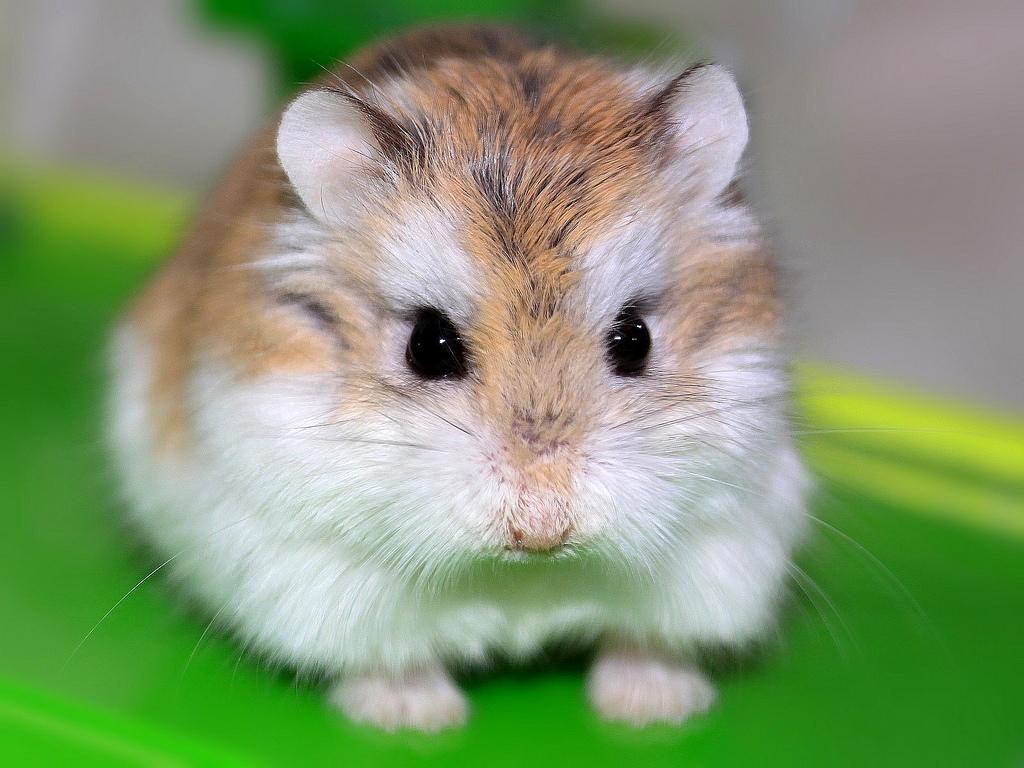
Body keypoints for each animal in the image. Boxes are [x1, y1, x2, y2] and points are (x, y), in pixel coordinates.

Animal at [107, 23, 809, 731]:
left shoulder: (723, 546)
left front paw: (653, 708)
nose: (541, 531)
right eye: (428, 346)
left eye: (635, 339)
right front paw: (416, 718)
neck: (519, 576)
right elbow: (390, 656)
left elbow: (642, 639)